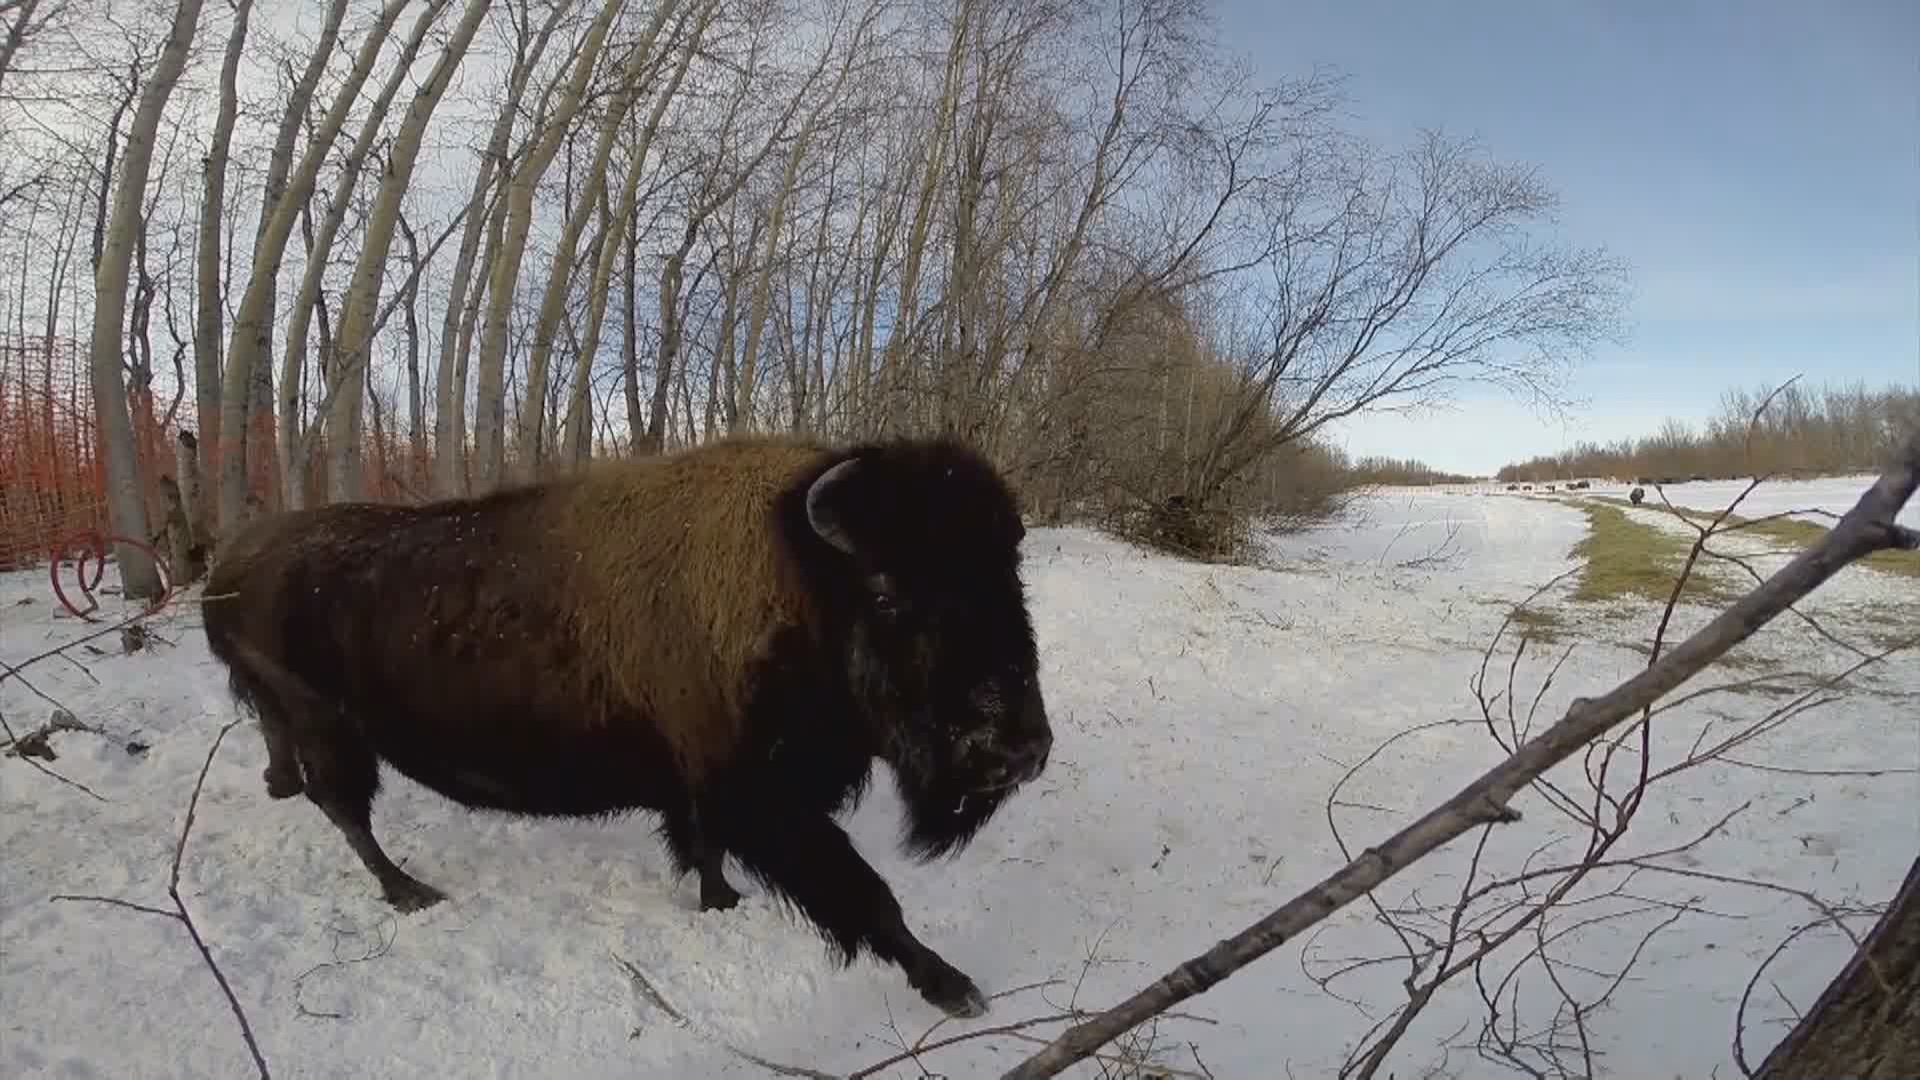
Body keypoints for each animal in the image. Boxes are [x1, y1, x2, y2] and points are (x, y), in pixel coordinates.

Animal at [200, 435, 1054, 1018]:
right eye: (886, 590)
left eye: (1009, 578)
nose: (1021, 749)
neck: (799, 577)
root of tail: (229, 563)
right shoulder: (761, 798)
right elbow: (867, 895)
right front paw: (953, 987)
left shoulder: (706, 789)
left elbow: (705, 848)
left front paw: (721, 903)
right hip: (330, 728)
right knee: (346, 808)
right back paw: (412, 892)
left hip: (295, 715)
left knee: (300, 772)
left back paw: (297, 801)